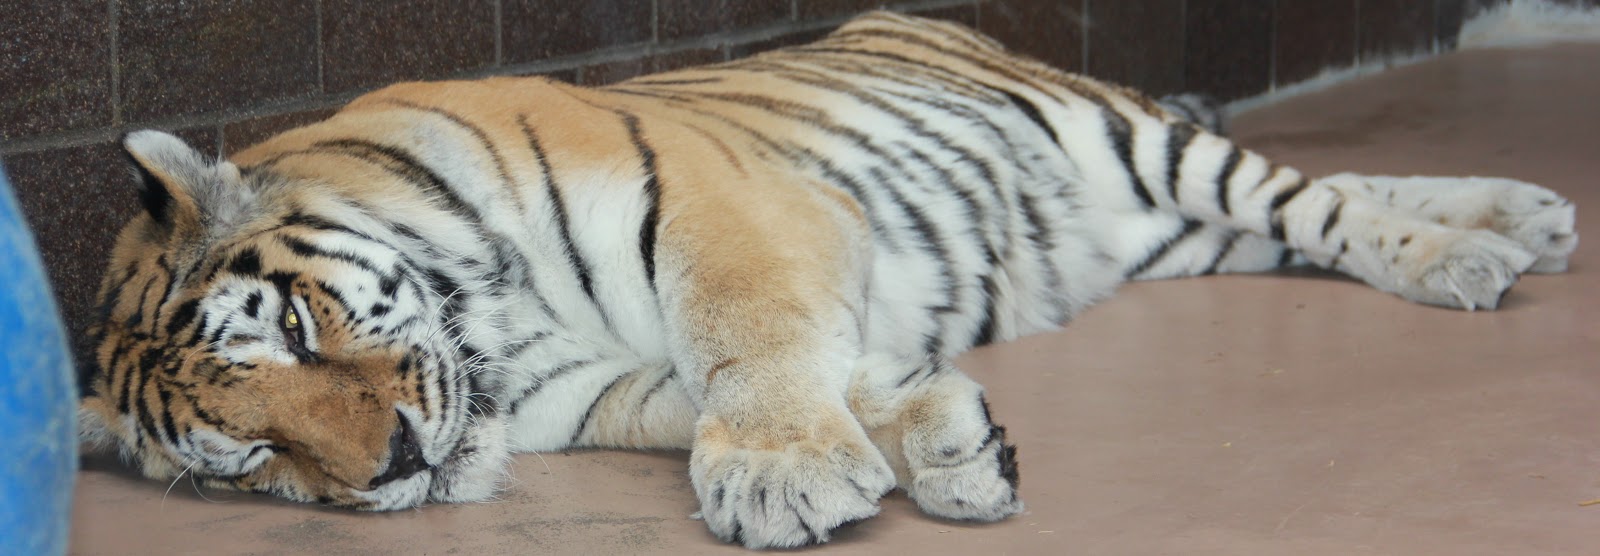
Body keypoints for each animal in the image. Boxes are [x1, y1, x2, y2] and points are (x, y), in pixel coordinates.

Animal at [78, 12, 1577, 549]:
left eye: (296, 323)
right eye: (249, 461)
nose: (390, 464)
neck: (491, 332)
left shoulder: (721, 205)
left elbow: (745, 344)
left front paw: (787, 476)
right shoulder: (582, 388)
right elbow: (744, 386)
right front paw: (949, 441)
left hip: (1144, 148)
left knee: (1324, 196)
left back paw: (1468, 254)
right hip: (1171, 229)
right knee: (1333, 205)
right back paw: (1526, 218)